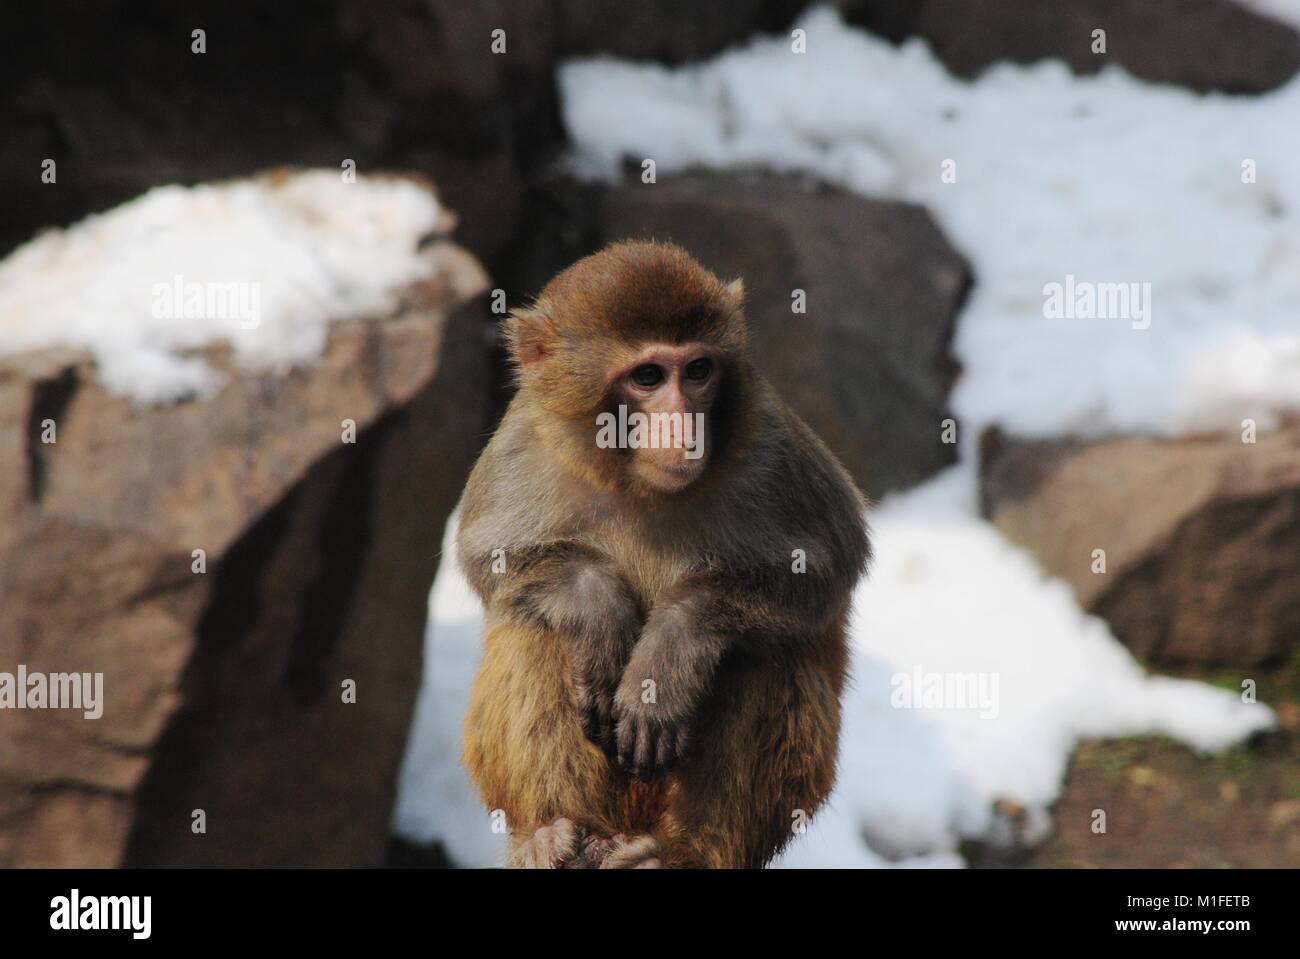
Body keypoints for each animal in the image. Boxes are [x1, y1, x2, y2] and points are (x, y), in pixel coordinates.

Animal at [456, 240, 870, 868]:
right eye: (648, 376)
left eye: (698, 370)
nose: (683, 428)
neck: (636, 483)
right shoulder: (523, 443)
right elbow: (490, 558)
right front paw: (598, 609)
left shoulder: (772, 445)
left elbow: (830, 565)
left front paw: (673, 647)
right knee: (537, 627)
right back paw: (550, 829)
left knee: (763, 652)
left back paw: (681, 852)